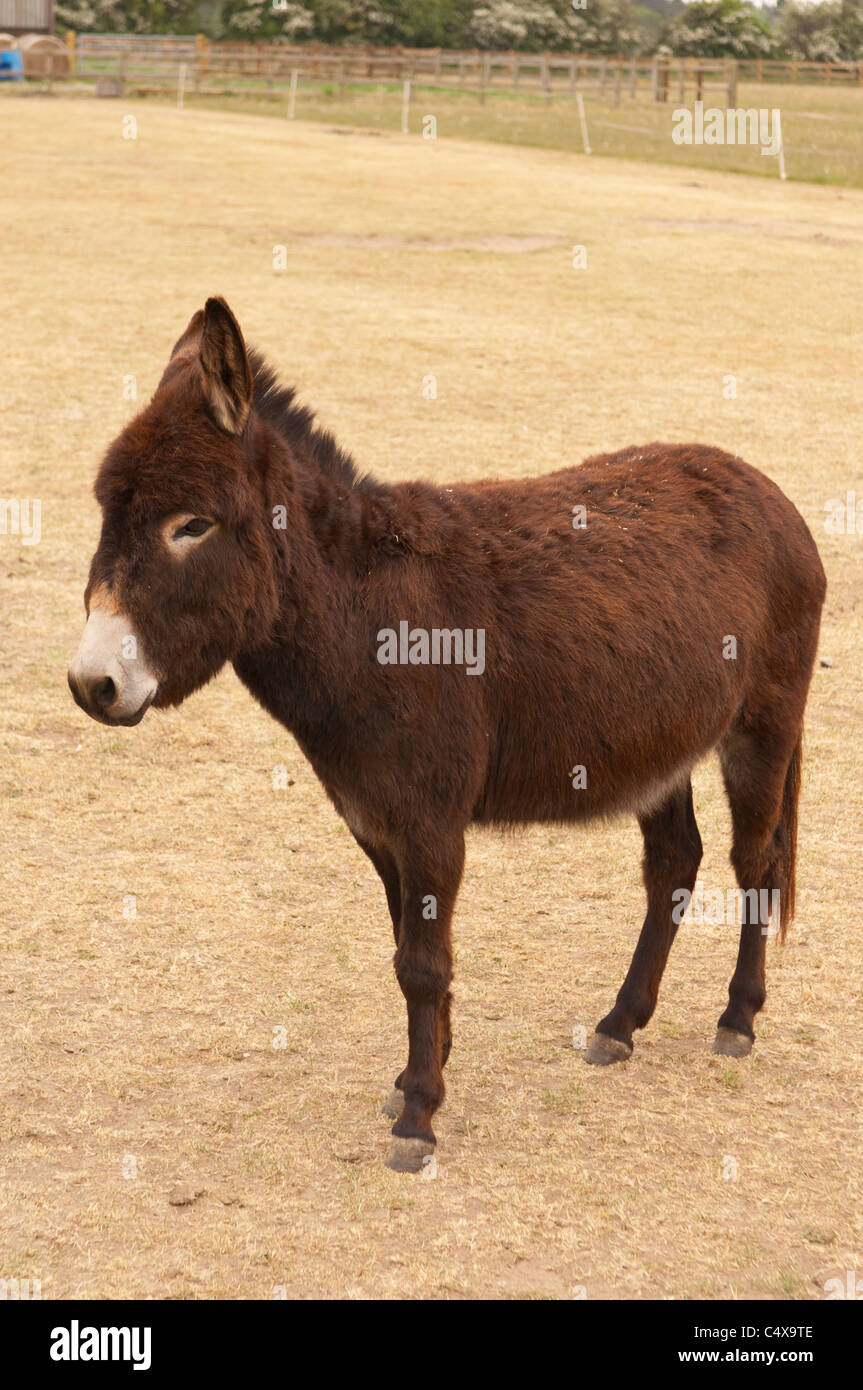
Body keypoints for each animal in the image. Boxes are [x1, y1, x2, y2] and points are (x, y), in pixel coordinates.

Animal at [69, 298, 826, 1172]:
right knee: (674, 861)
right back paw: (618, 1024)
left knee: (755, 861)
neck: (359, 614)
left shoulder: (431, 822)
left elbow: (424, 965)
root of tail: (762, 483)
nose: (91, 686)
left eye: (190, 526)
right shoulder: (373, 820)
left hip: (761, 724)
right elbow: (405, 948)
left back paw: (737, 1018)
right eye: (106, 515)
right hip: (654, 745)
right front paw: (415, 1076)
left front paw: (418, 1119)